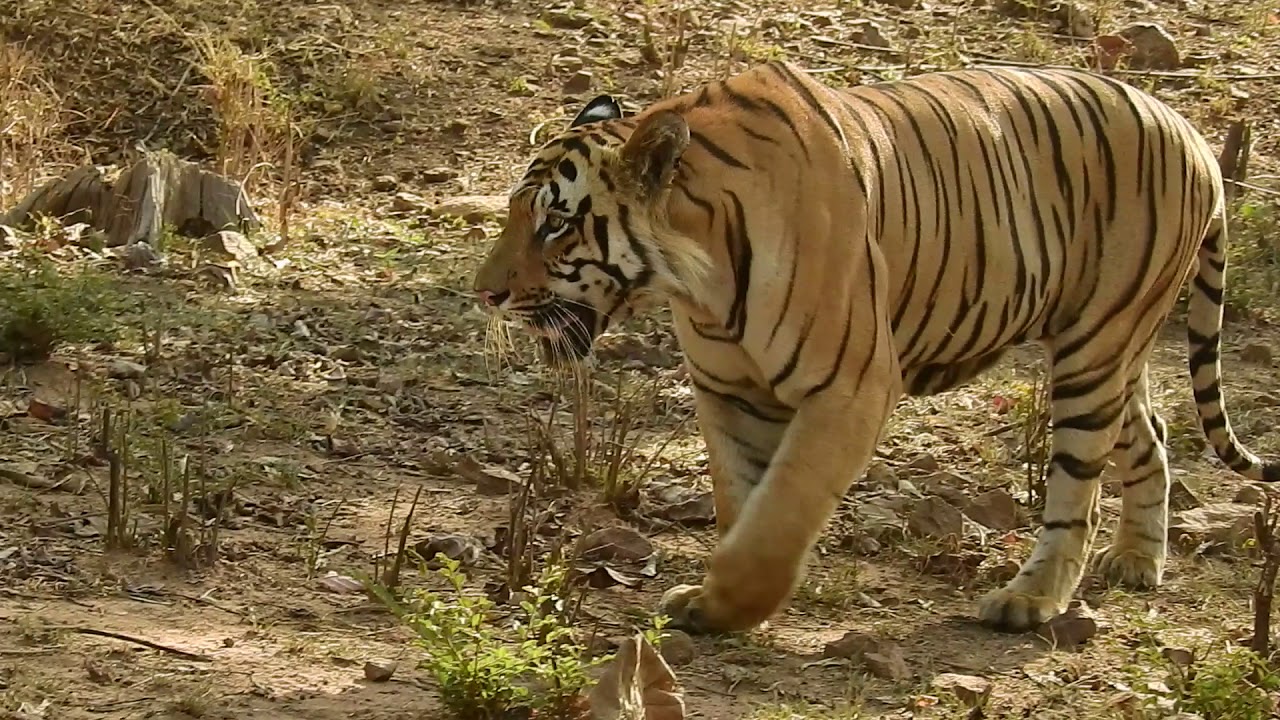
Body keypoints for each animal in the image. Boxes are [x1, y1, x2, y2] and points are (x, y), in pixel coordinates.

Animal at [470, 59, 1280, 634]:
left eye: (555, 225)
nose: (485, 293)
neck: (696, 276)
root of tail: (1192, 131)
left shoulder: (850, 387)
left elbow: (783, 506)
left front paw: (731, 599)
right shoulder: (728, 391)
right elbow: (742, 496)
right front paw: (721, 599)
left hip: (1097, 347)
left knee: (1078, 485)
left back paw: (1029, 601)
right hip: (1107, 344)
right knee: (1151, 434)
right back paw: (1137, 561)